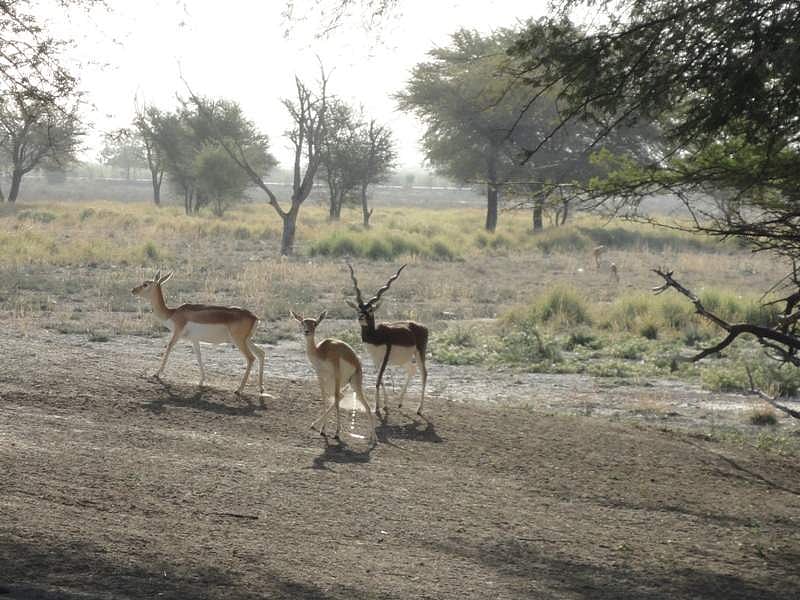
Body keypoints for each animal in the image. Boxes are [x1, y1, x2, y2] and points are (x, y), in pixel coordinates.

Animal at [131, 270, 265, 395]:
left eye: (145, 284)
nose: (133, 290)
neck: (172, 314)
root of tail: (255, 317)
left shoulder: (177, 333)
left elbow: (168, 348)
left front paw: (156, 373)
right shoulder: (194, 340)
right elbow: (199, 357)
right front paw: (201, 381)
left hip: (239, 341)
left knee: (251, 358)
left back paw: (239, 389)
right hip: (247, 340)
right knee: (261, 353)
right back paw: (261, 388)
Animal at [291, 310, 376, 443]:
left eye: (315, 324)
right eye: (303, 322)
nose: (307, 332)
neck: (321, 351)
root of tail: (357, 363)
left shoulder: (336, 373)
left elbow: (334, 401)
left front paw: (336, 433)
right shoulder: (320, 375)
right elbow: (324, 398)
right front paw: (324, 430)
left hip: (351, 383)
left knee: (365, 405)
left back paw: (374, 438)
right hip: (335, 383)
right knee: (340, 396)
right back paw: (316, 425)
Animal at [346, 263, 429, 416]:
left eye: (370, 310)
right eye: (359, 308)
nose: (361, 317)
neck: (376, 336)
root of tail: (422, 326)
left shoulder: (385, 357)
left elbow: (378, 380)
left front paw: (377, 408)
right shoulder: (375, 360)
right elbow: (381, 379)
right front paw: (385, 405)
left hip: (420, 353)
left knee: (424, 374)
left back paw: (419, 409)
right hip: (405, 359)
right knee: (412, 370)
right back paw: (400, 403)